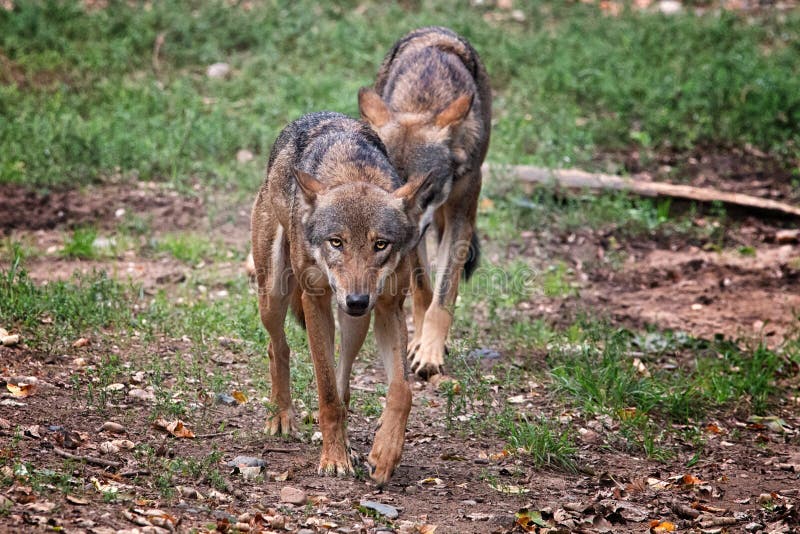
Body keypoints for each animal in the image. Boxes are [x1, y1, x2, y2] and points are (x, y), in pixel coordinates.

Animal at [250, 112, 433, 484]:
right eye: (337, 242)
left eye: (380, 244)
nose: (357, 300)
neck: (353, 171)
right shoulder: (315, 300)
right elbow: (327, 394)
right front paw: (334, 460)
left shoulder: (388, 308)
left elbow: (401, 391)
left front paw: (384, 454)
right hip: (273, 295)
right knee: (278, 347)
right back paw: (282, 417)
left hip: (355, 324)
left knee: (343, 377)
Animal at [358, 26, 491, 380]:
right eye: (389, 188)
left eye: (423, 187)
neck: (424, 98)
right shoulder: (413, 236)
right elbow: (423, 291)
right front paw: (420, 343)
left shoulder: (461, 218)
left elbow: (443, 297)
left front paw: (431, 352)